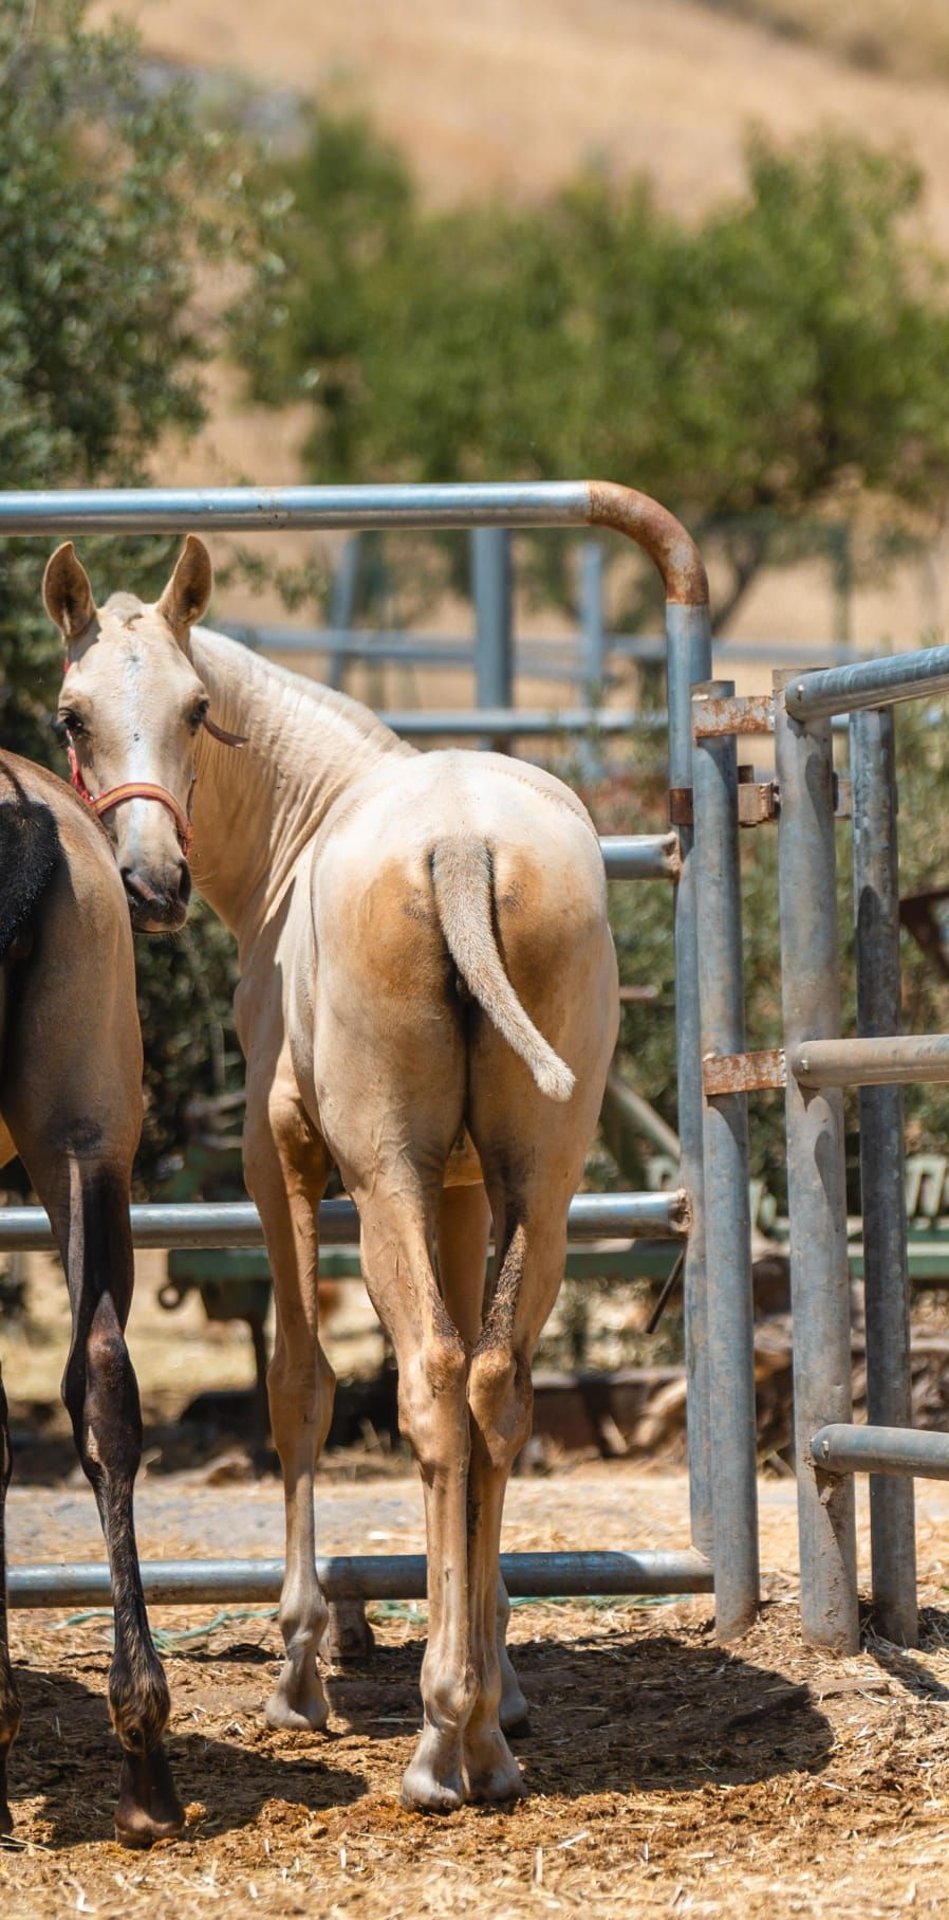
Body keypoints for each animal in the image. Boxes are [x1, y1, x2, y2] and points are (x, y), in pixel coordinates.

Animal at [43, 534, 619, 1812]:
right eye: (74, 714)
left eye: (196, 710)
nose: (150, 882)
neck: (308, 825)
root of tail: (460, 848)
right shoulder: (463, 1189)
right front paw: (502, 1670)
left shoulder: (285, 1168)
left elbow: (298, 1387)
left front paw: (301, 1665)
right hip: (536, 1185)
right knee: (489, 1384)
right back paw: (483, 1731)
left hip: (384, 1174)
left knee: (428, 1382)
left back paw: (440, 1744)